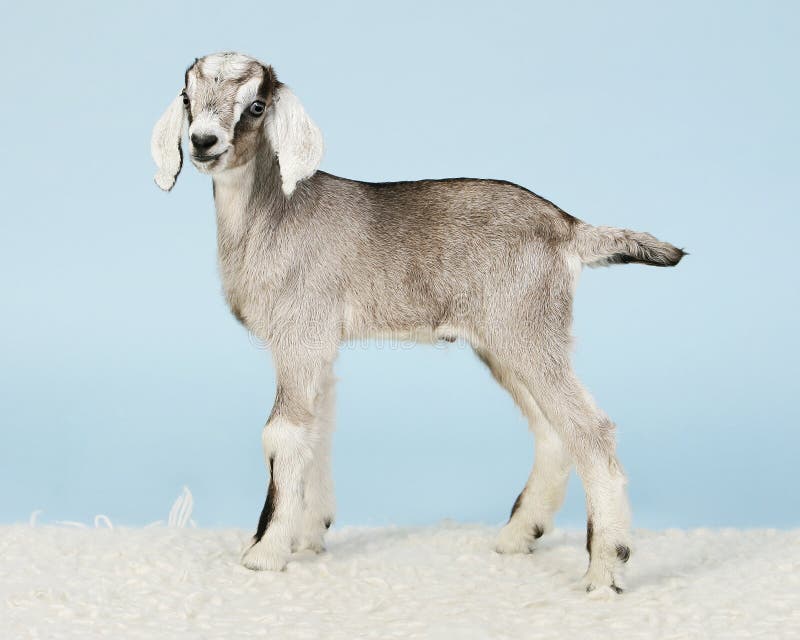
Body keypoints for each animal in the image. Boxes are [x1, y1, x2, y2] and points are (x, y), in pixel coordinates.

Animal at [151, 52, 684, 593]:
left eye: (256, 105)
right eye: (188, 98)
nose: (203, 142)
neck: (274, 215)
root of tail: (569, 227)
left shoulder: (300, 337)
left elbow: (282, 434)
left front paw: (265, 553)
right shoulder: (320, 349)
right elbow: (318, 431)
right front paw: (308, 537)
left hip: (527, 331)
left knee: (591, 430)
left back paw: (604, 570)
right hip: (504, 342)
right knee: (552, 430)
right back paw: (519, 535)